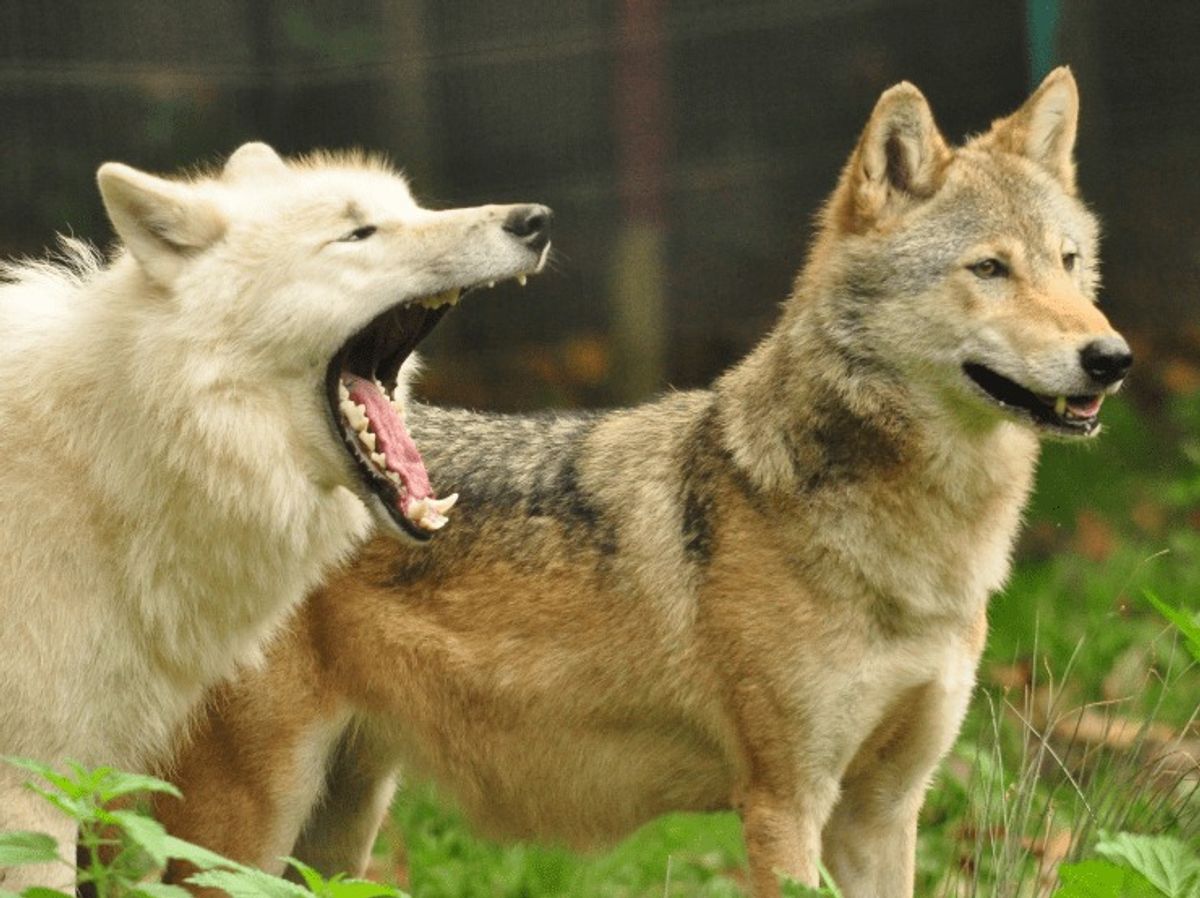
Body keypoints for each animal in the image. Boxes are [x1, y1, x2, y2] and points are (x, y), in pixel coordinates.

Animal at [158, 69, 1130, 898]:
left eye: (1068, 261)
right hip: (243, 827)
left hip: (338, 829)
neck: (915, 552)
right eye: (989, 269)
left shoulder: (883, 813)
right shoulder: (785, 805)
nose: (1111, 358)